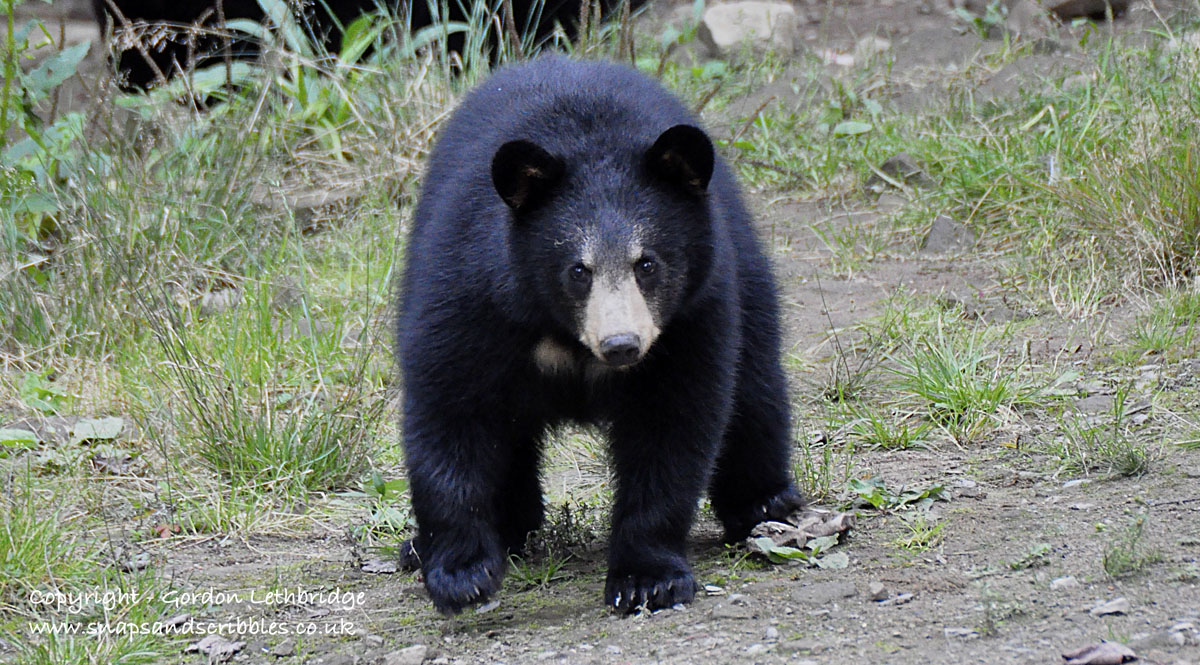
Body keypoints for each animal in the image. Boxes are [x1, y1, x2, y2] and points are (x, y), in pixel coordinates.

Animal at [396, 56, 804, 615]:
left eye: (647, 264)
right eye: (578, 270)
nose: (622, 346)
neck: (563, 332)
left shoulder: (692, 316)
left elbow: (673, 423)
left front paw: (646, 580)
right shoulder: (469, 292)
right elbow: (450, 411)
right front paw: (463, 574)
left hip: (742, 262)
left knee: (756, 384)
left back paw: (767, 504)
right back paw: (463, 538)